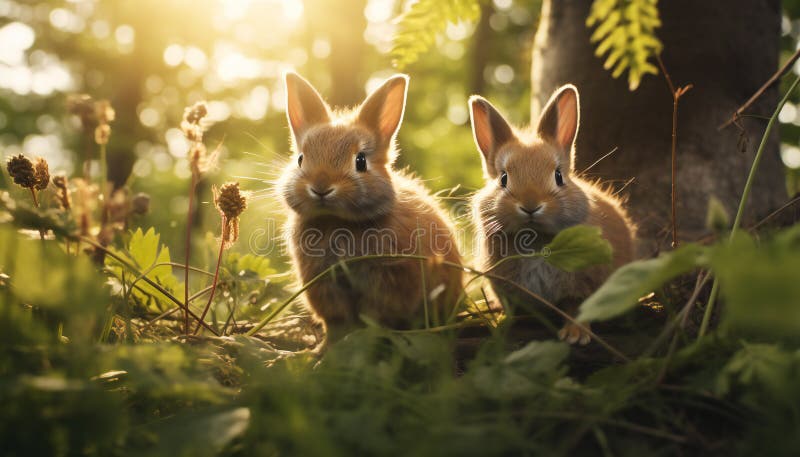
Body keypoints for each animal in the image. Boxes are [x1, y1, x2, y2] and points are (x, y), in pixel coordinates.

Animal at [276, 72, 463, 348]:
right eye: (300, 159)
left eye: (361, 161)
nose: (321, 187)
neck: (337, 221)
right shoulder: (323, 284)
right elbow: (336, 320)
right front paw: (325, 349)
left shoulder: (389, 281)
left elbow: (374, 317)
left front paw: (361, 342)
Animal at [469, 84, 636, 345]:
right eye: (503, 179)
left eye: (558, 176)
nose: (530, 205)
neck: (536, 240)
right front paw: (503, 327)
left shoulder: (584, 284)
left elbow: (577, 308)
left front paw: (576, 335)